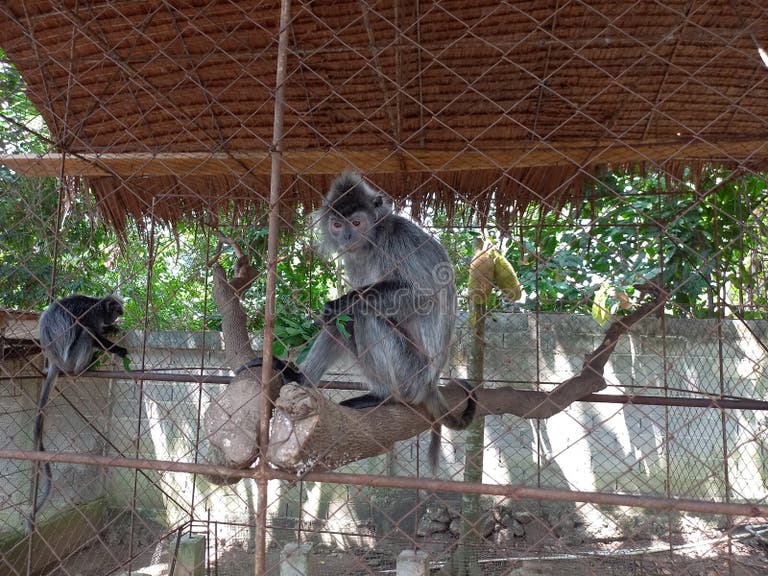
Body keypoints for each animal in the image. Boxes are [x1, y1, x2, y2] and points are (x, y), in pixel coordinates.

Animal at [31, 294, 128, 527]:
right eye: (116, 311)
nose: (114, 319)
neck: (97, 304)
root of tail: (54, 361)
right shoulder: (91, 315)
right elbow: (92, 332)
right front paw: (117, 347)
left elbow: (100, 332)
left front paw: (112, 329)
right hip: (71, 361)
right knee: (85, 334)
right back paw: (87, 365)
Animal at [299, 172, 476, 471]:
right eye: (337, 225)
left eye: (357, 222)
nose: (347, 236)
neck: (373, 242)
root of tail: (430, 384)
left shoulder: (400, 239)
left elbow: (423, 295)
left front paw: (343, 302)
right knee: (342, 325)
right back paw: (297, 380)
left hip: (412, 373)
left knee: (365, 315)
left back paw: (384, 396)